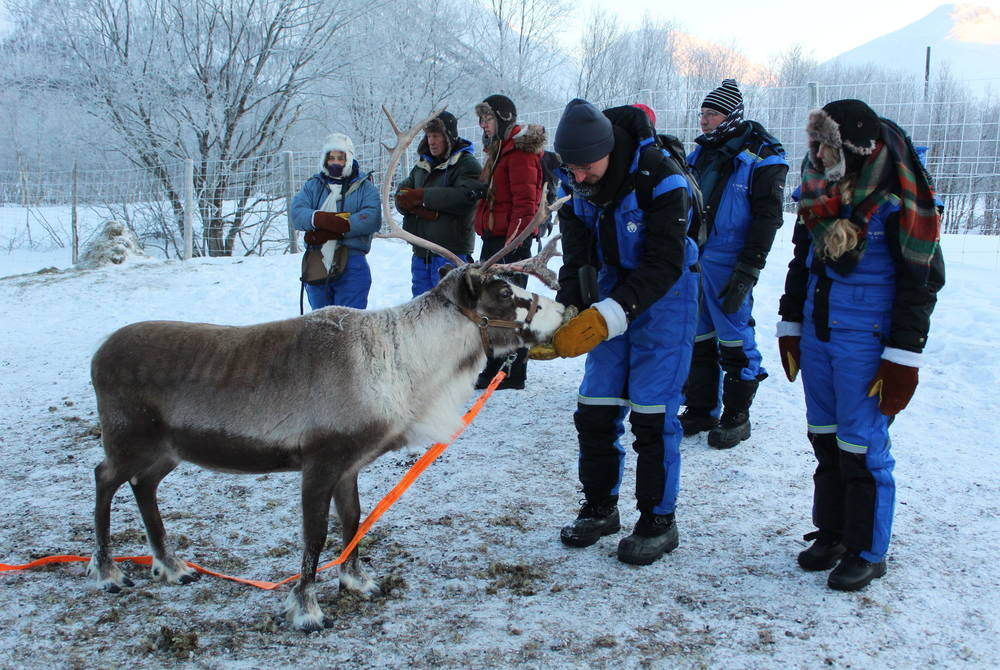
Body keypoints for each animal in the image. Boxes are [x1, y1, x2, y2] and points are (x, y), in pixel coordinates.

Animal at [86, 107, 569, 631]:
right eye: (502, 292)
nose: (561, 310)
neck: (405, 367)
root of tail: (97, 354)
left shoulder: (350, 462)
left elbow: (353, 522)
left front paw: (358, 582)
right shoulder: (319, 458)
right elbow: (315, 536)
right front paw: (306, 609)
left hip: (166, 448)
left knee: (142, 485)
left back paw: (172, 566)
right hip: (128, 436)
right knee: (104, 476)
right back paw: (109, 571)